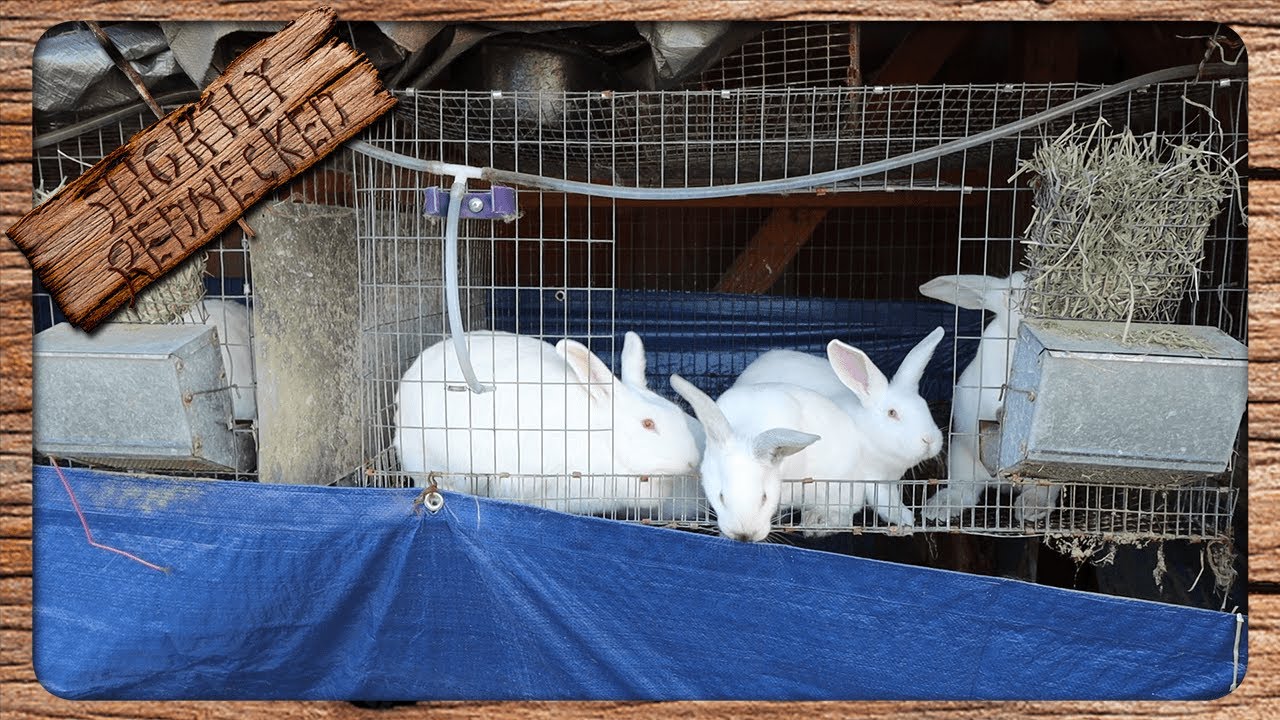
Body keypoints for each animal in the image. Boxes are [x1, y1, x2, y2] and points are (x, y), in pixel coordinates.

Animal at [670, 371, 918, 543]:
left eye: (764, 497)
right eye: (721, 497)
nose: (744, 536)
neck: (747, 432)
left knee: (844, 516)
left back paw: (815, 523)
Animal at [917, 272, 1061, 522]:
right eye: (1011, 291)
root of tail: (1003, 485)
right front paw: (1003, 414)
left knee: (1041, 491)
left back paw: (1031, 508)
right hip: (961, 456)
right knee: (966, 491)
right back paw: (938, 508)